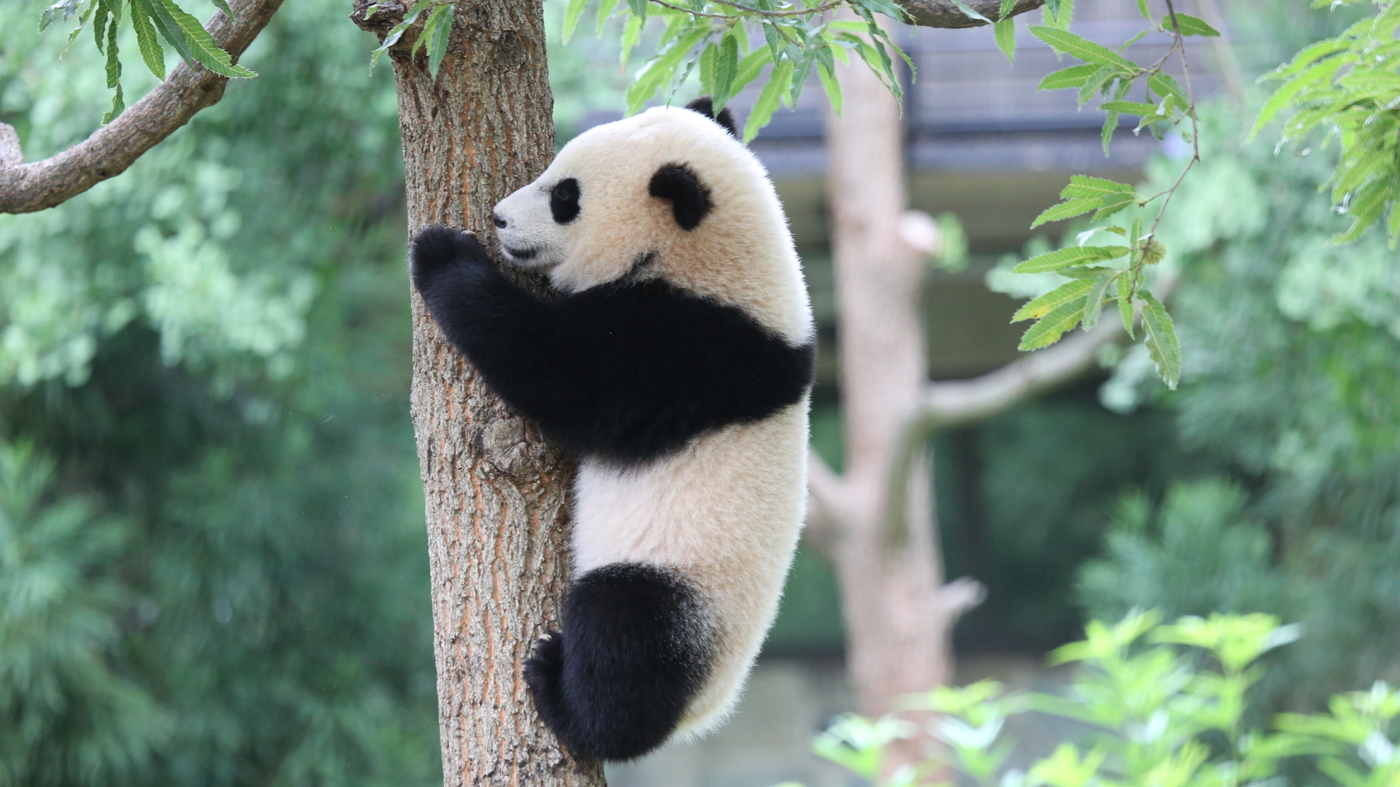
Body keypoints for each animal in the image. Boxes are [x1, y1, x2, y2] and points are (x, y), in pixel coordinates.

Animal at [408, 97, 815, 762]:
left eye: (565, 197)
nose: (497, 219)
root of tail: (707, 710)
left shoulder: (684, 347)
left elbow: (554, 368)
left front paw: (441, 254)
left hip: (683, 588)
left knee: (624, 636)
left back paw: (564, 694)